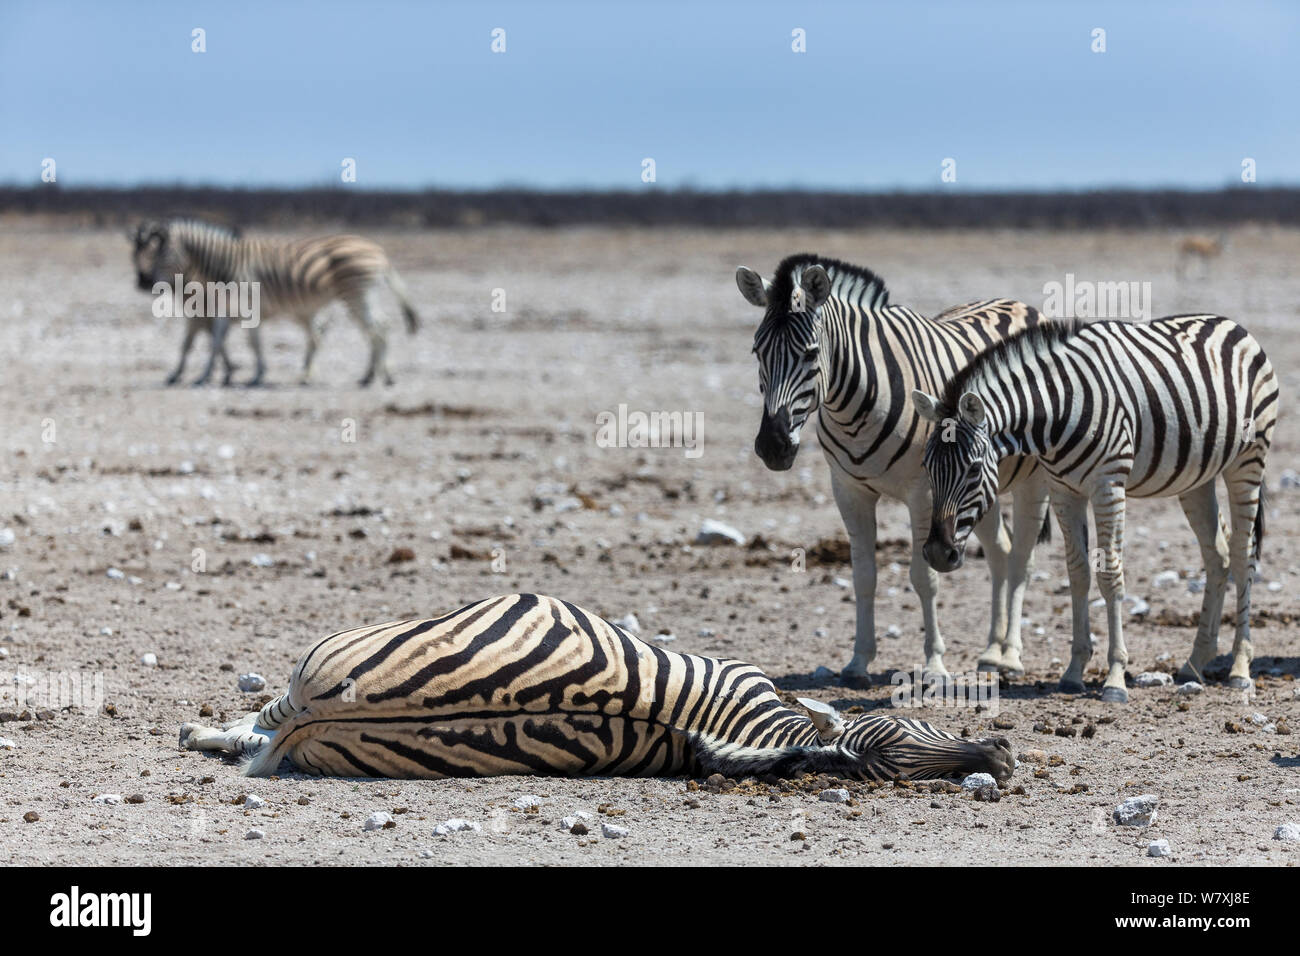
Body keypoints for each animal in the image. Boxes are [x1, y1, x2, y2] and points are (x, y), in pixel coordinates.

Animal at [130, 218, 420, 387]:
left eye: (160, 254)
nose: (147, 283)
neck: (226, 267)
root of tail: (379, 252)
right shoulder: (224, 310)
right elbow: (217, 343)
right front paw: (206, 376)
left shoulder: (244, 309)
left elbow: (250, 343)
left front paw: (255, 376)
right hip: (356, 299)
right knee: (369, 331)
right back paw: (368, 375)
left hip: (358, 295)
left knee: (378, 328)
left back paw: (384, 376)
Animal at [736, 254, 1051, 685]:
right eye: (756, 351)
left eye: (811, 354)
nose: (773, 446)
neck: (853, 408)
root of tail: (1021, 304)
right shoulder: (848, 490)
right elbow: (863, 576)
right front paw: (858, 663)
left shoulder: (925, 493)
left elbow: (924, 577)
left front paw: (934, 664)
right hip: (982, 484)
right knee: (1000, 551)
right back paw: (991, 651)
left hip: (1032, 481)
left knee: (1022, 558)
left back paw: (1011, 656)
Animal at [912, 316, 1277, 702]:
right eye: (926, 467)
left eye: (973, 469)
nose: (937, 554)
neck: (1058, 410)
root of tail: (1229, 323)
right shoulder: (1063, 490)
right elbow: (1078, 573)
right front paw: (1074, 671)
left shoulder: (1107, 485)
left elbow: (1109, 573)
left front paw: (1115, 677)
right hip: (1196, 479)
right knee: (1217, 556)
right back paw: (1196, 661)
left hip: (1248, 461)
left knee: (1242, 555)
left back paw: (1240, 668)